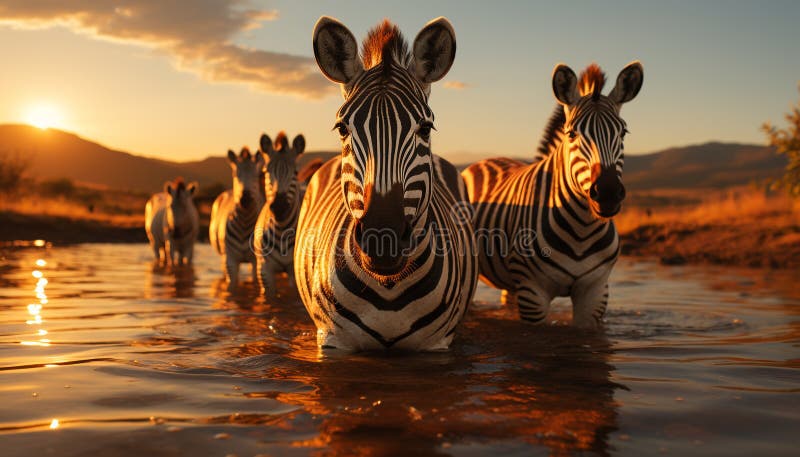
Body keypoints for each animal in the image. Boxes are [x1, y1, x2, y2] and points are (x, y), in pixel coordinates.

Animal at [209, 147, 265, 289]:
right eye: (235, 175)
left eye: (256, 175)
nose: (245, 199)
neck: (244, 223)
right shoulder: (231, 260)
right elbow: (232, 286)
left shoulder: (255, 260)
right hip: (224, 256)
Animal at [253, 132, 307, 297]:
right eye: (266, 172)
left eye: (295, 173)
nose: (279, 206)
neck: (282, 228)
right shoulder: (264, 270)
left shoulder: (295, 272)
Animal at [294, 17, 477, 351]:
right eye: (342, 128)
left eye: (425, 128)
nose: (383, 240)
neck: (388, 290)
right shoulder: (333, 341)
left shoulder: (437, 347)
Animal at [462, 62, 643, 329]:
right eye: (571, 134)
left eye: (623, 133)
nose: (608, 193)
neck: (582, 231)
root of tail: (484, 160)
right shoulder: (533, 293)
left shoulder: (595, 291)